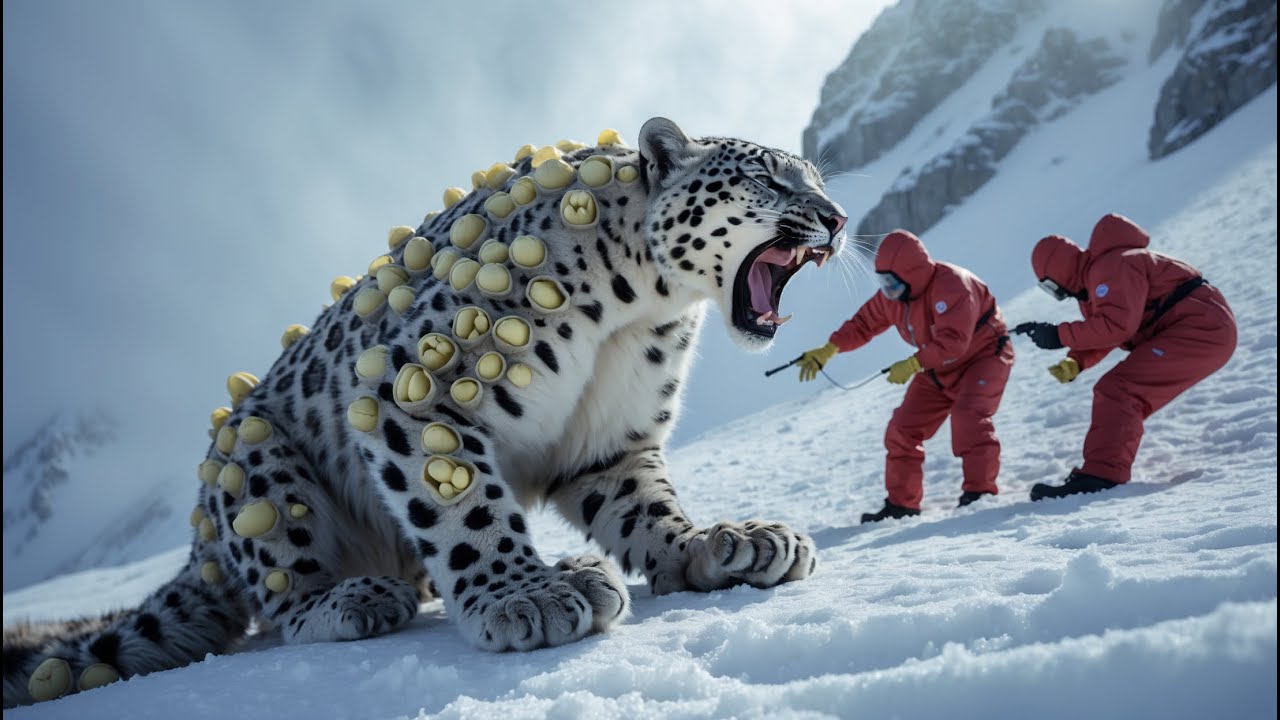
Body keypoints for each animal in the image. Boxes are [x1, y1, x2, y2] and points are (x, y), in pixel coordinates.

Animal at [3, 117, 848, 707]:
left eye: (814, 177)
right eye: (771, 179)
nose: (837, 218)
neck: (640, 310)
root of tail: (201, 536)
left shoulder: (611, 438)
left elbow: (648, 508)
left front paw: (723, 544)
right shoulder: (413, 388)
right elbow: (463, 502)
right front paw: (524, 596)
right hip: (257, 466)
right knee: (281, 598)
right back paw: (362, 597)